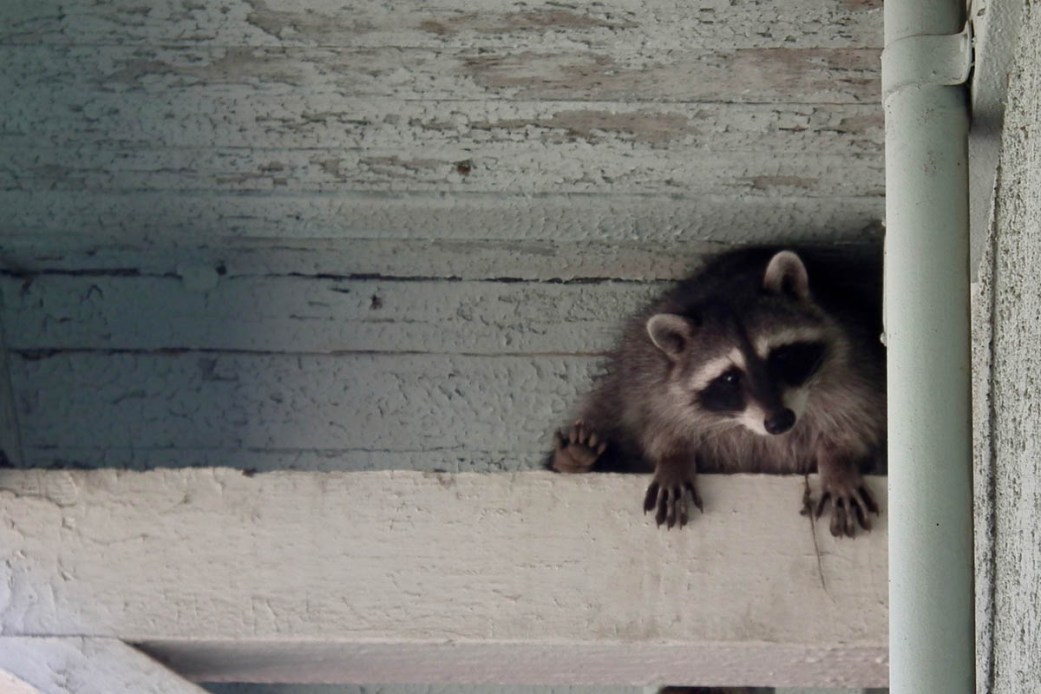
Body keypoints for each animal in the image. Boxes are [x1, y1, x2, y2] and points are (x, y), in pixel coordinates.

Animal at [549, 247, 886, 537]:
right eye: (730, 378)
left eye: (781, 357)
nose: (779, 421)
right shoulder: (650, 376)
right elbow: (656, 417)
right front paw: (674, 454)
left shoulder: (855, 358)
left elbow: (857, 414)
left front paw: (838, 459)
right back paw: (575, 457)